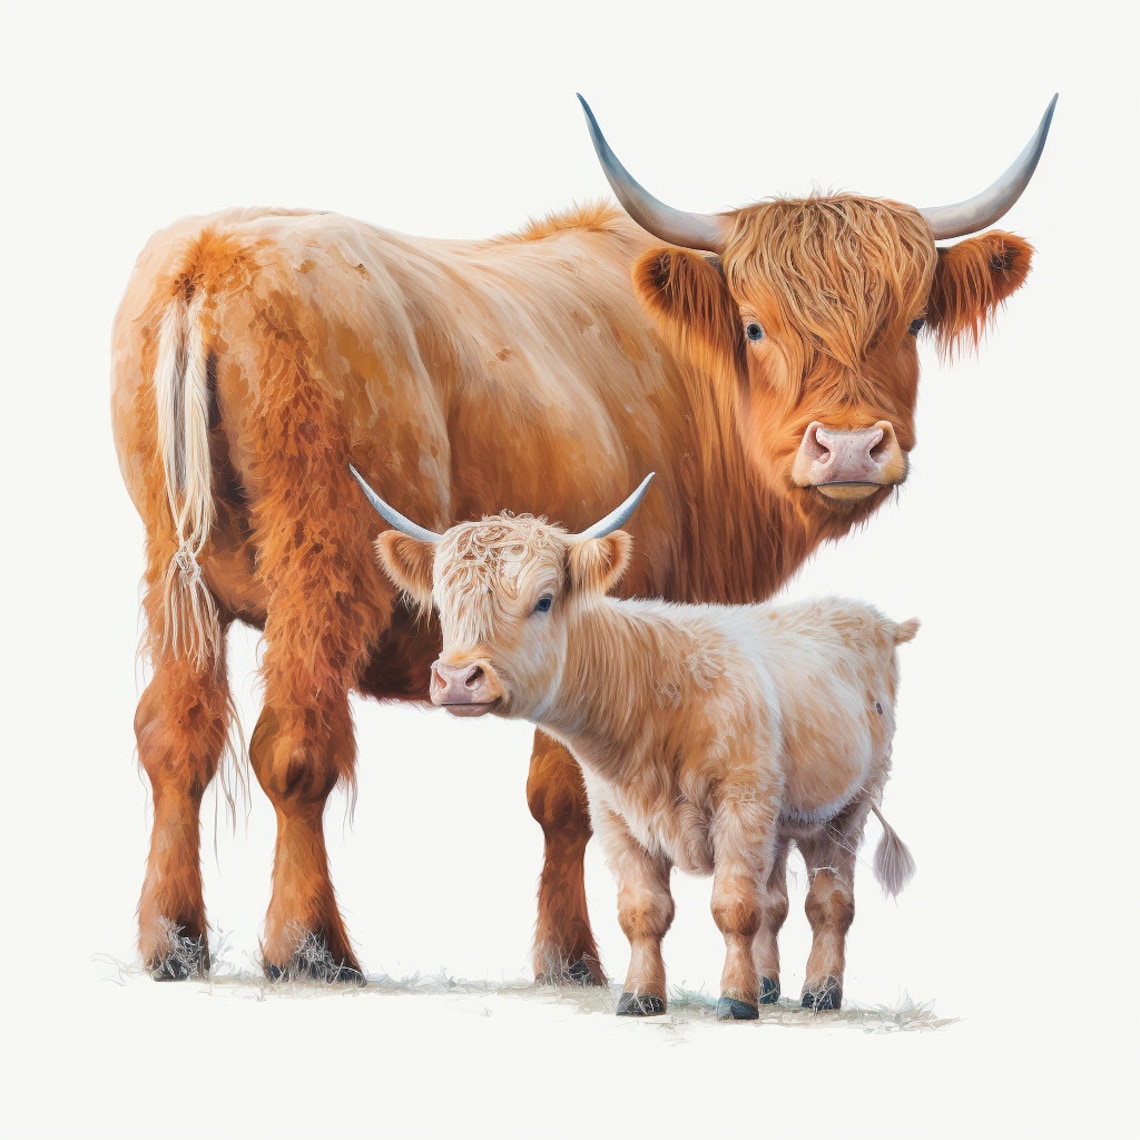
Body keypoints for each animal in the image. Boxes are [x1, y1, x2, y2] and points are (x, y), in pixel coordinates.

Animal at [363, 473, 919, 1017]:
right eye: (443, 605)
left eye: (543, 600)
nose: (458, 679)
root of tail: (875, 619)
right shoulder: (615, 815)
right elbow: (644, 911)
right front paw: (641, 996)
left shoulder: (742, 803)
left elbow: (735, 906)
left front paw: (734, 1000)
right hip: (780, 822)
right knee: (777, 902)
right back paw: (767, 985)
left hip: (845, 809)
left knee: (828, 902)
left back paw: (820, 992)